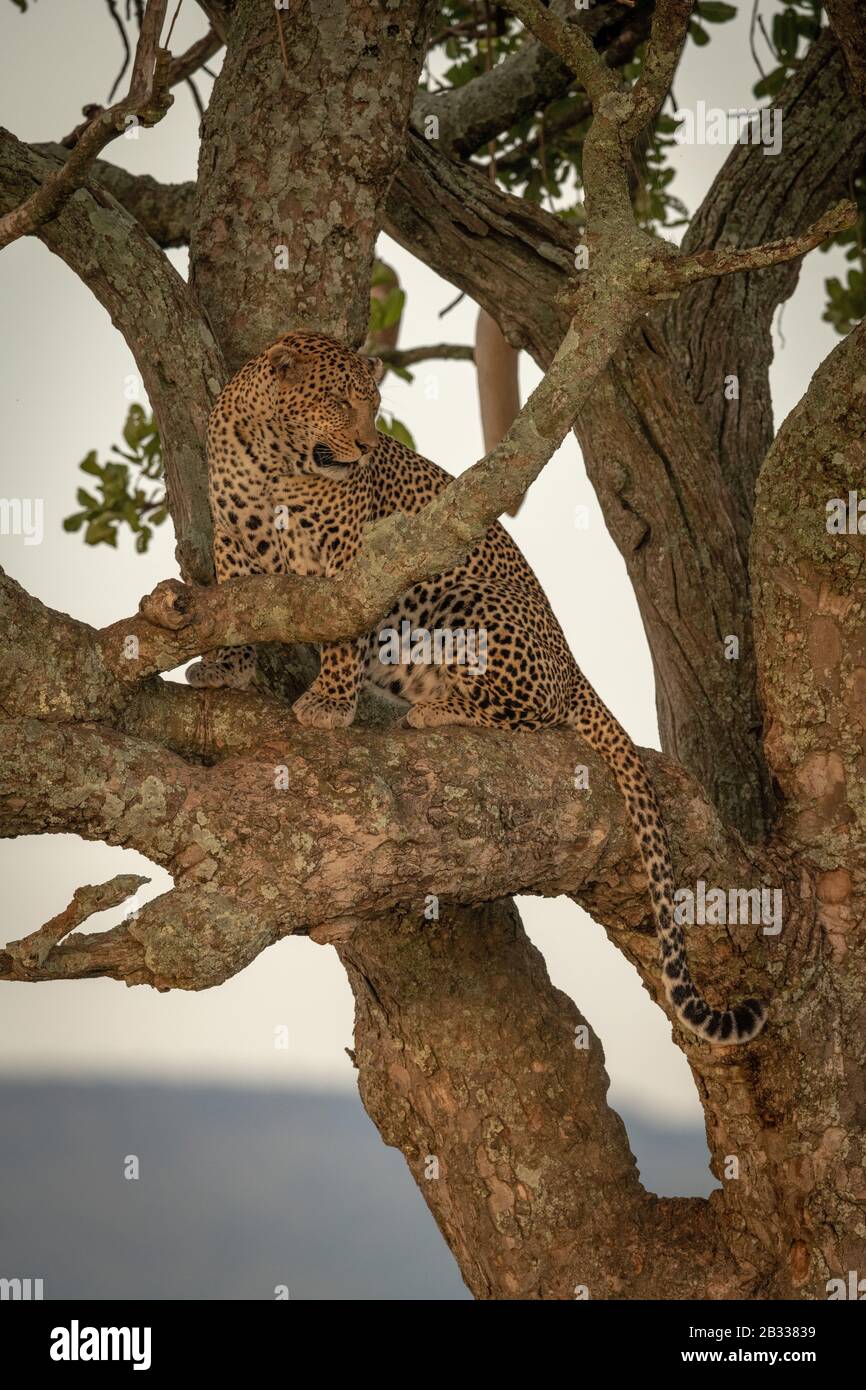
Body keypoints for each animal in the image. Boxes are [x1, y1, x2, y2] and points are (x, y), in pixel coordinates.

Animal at [188, 330, 767, 1046]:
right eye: (337, 402)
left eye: (372, 403)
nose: (366, 447)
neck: (272, 456)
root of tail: (572, 660)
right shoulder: (231, 537)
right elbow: (232, 601)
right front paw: (228, 664)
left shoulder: (349, 560)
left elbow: (341, 633)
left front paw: (329, 702)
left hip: (466, 597)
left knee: (533, 710)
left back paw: (436, 711)